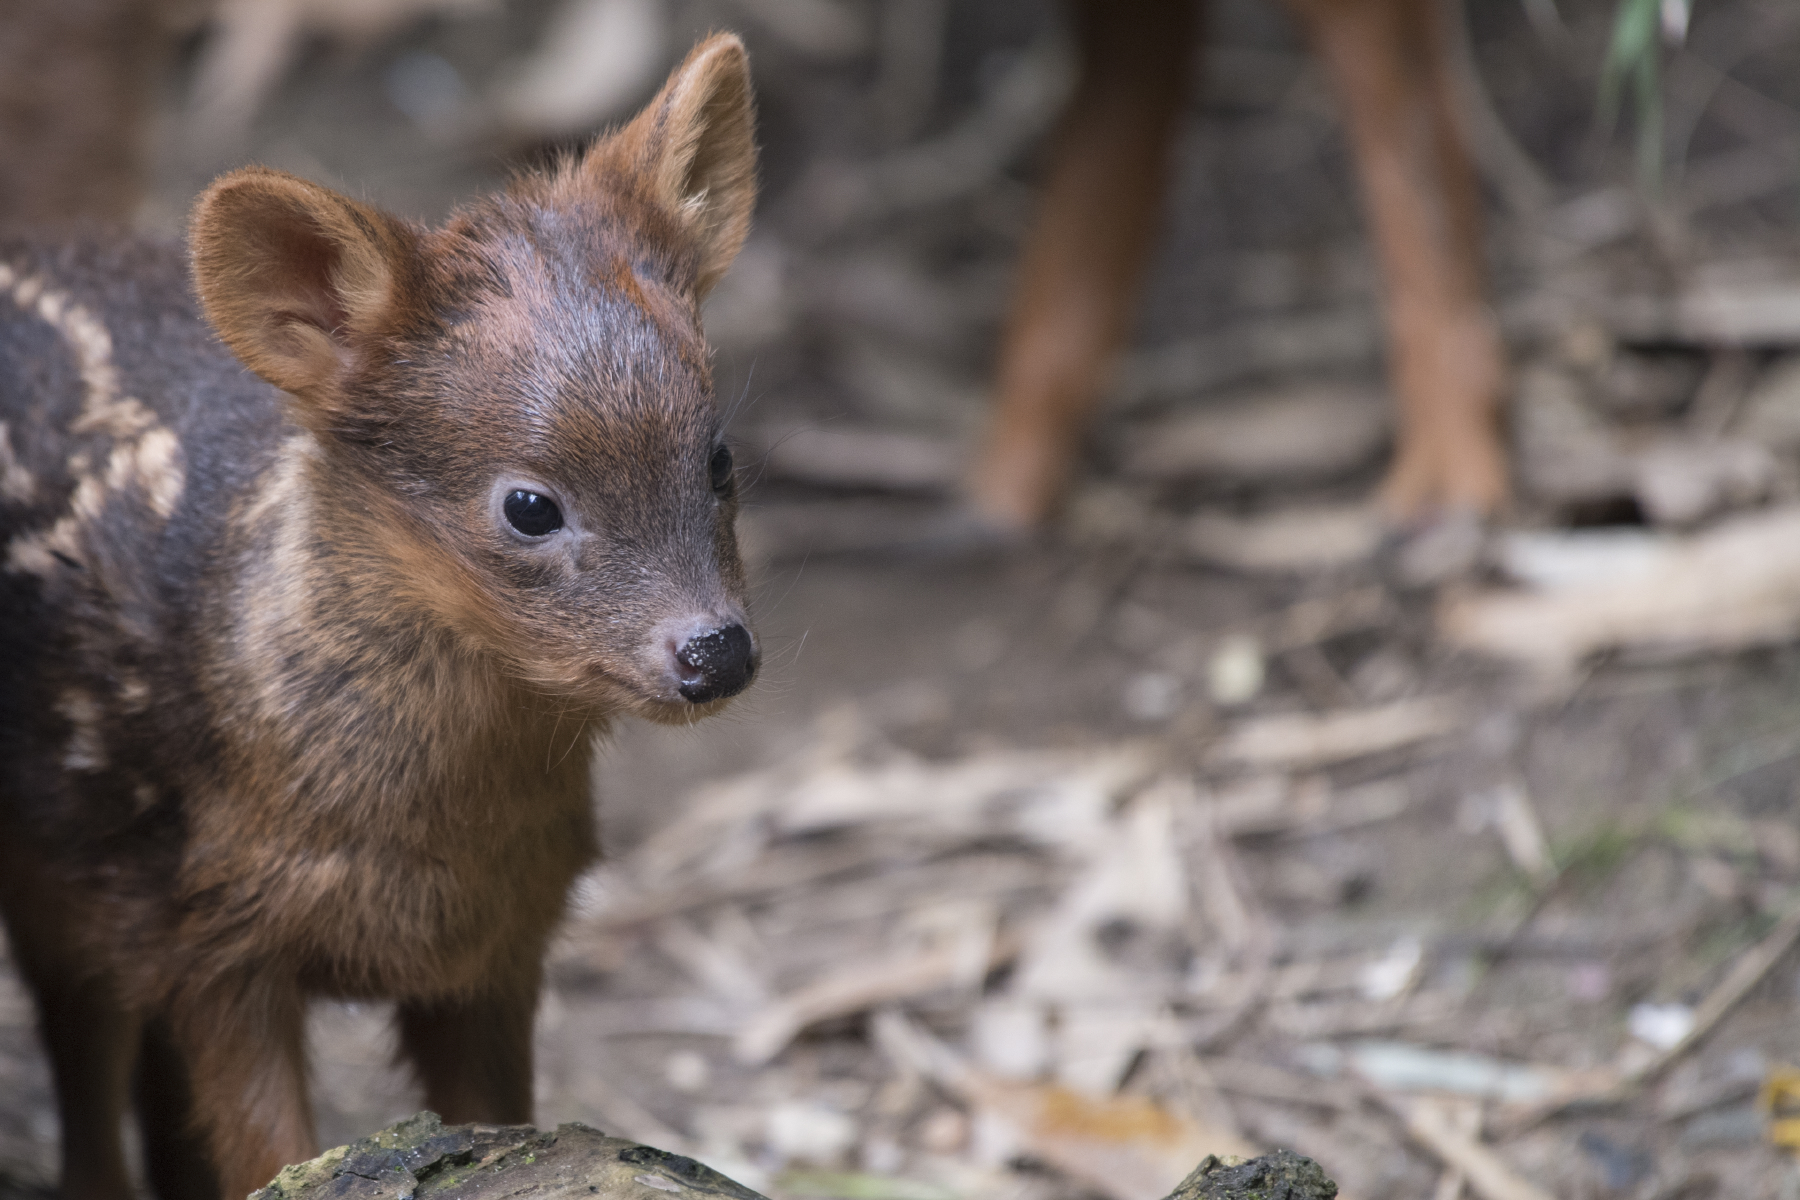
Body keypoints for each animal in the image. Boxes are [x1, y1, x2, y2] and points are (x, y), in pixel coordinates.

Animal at [0, 33, 758, 1200]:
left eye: (717, 459)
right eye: (528, 505)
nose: (716, 651)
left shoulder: (500, 946)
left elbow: (499, 1118)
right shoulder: (207, 934)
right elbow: (274, 1150)